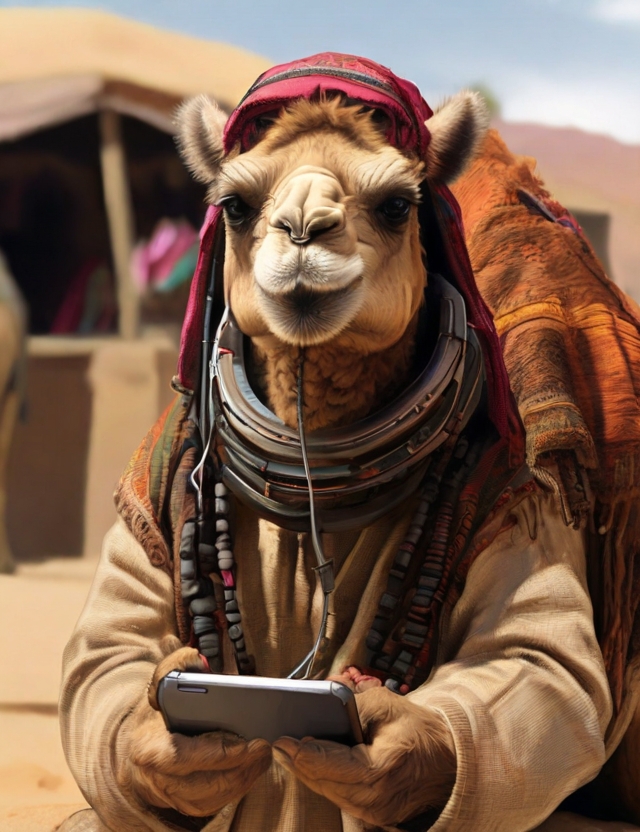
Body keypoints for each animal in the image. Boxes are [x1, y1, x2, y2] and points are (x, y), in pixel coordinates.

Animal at [58, 54, 640, 832]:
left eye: (396, 203)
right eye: (235, 204)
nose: (305, 230)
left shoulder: (526, 493)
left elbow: (541, 664)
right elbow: (105, 654)